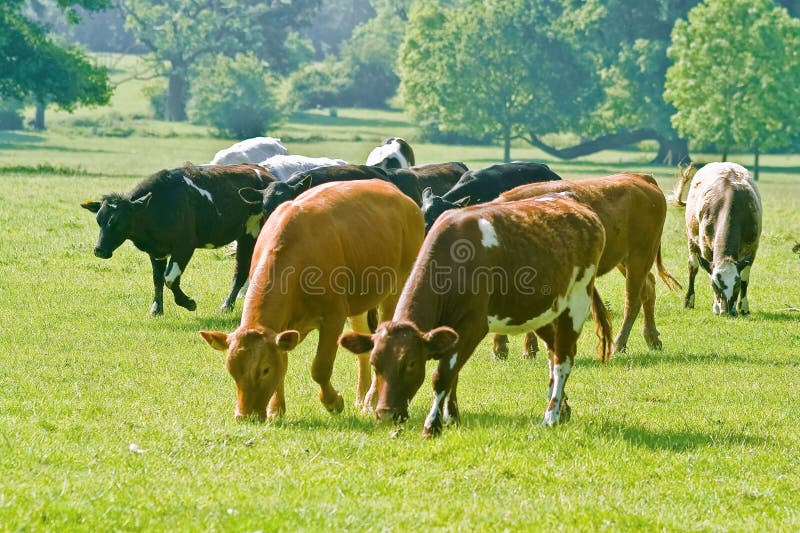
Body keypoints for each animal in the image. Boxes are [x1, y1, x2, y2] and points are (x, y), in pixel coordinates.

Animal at [80, 163, 274, 315]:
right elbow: (158, 279)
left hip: (252, 235)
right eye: (99, 220)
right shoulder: (156, 250)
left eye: (118, 222)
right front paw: (156, 309)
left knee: (241, 270)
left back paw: (227, 306)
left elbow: (170, 278)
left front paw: (188, 303)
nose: (99, 250)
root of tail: (263, 172)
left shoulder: (185, 246)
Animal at [200, 180, 424, 420]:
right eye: (231, 370)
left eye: (265, 369)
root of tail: (401, 195)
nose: (244, 416)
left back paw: (371, 401)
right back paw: (362, 398)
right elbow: (284, 362)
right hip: (359, 304)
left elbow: (320, 368)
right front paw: (276, 409)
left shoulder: (334, 317)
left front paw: (333, 402)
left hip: (395, 291)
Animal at [338, 194, 612, 436]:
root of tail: (579, 207)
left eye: (411, 363)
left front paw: (432, 425)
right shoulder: (449, 332)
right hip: (541, 311)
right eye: (375, 363)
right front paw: (451, 418)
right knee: (554, 351)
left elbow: (442, 376)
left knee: (563, 360)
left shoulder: (473, 325)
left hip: (576, 300)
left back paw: (551, 416)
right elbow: (453, 375)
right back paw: (562, 408)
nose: (385, 414)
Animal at [495, 173, 681, 356]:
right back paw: (652, 339)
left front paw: (506, 347)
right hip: (625, 260)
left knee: (633, 299)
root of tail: (640, 177)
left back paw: (619, 344)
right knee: (648, 288)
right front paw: (524, 348)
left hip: (640, 256)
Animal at [673, 162, 762, 316]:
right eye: (715, 285)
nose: (727, 311)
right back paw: (689, 300)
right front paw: (715, 306)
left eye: (736, 285)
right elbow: (708, 272)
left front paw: (743, 307)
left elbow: (745, 277)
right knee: (693, 267)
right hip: (691, 239)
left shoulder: (752, 247)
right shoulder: (707, 249)